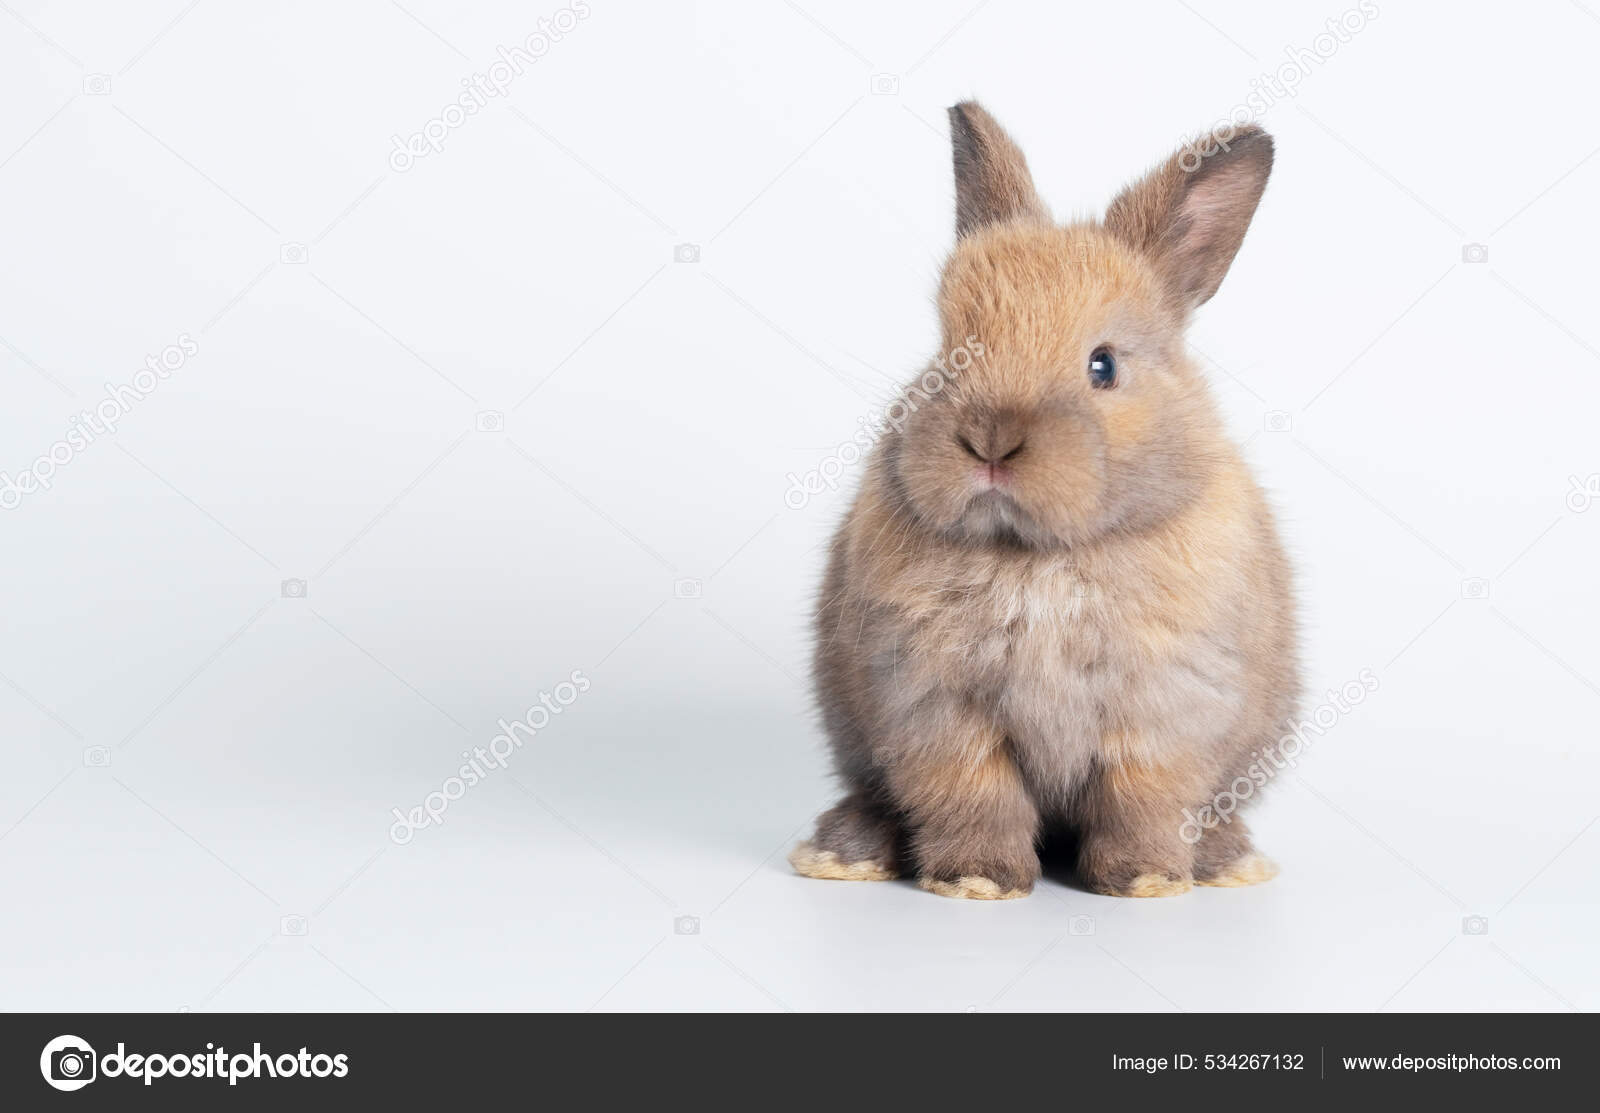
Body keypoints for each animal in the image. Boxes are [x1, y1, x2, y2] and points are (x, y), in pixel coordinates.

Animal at [789, 102, 1299, 900]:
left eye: (1104, 365)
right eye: (948, 351)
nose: (990, 440)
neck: (1038, 558)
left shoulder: (1163, 717)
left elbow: (1142, 801)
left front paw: (1145, 880)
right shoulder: (937, 711)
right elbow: (974, 795)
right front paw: (978, 880)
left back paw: (1230, 861)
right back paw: (843, 852)